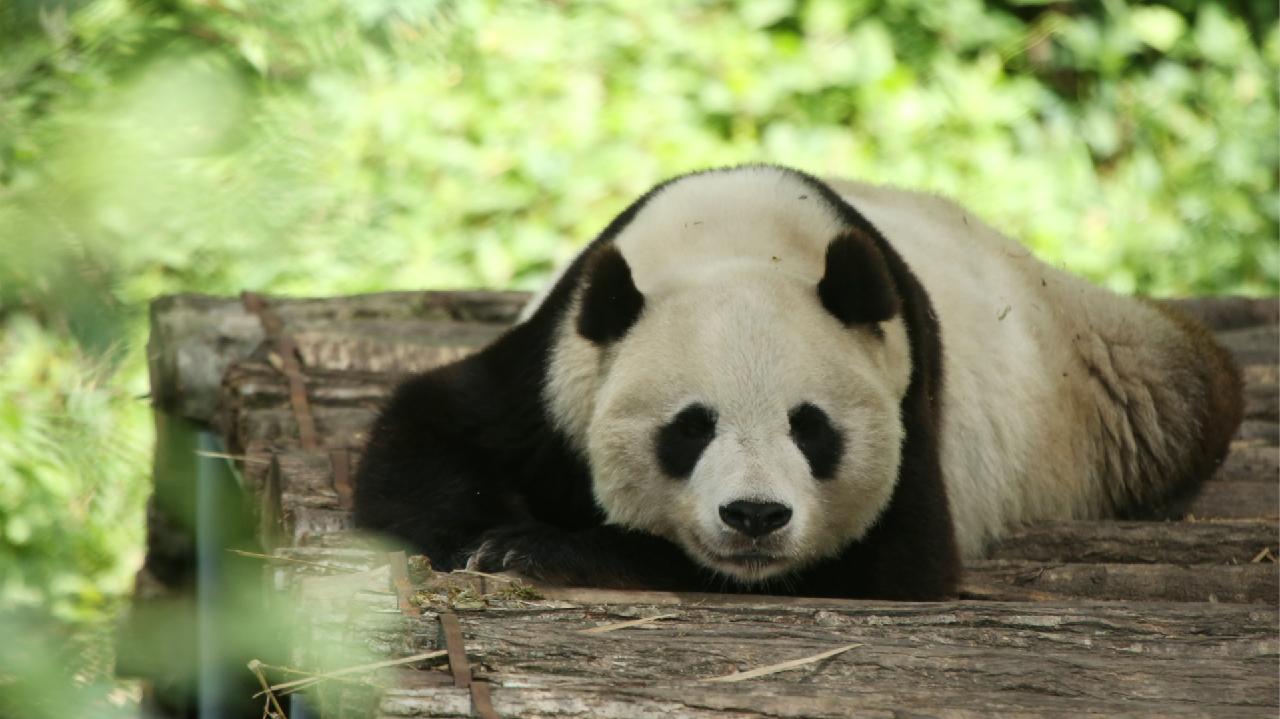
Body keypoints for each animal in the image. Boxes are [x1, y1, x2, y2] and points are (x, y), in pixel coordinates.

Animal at [353, 164, 1242, 600]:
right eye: (690, 426)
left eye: (810, 426)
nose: (755, 516)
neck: (740, 241)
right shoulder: (558, 360)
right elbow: (425, 437)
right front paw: (491, 536)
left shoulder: (909, 398)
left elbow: (888, 567)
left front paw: (545, 548)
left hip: (1091, 371)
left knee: (1181, 394)